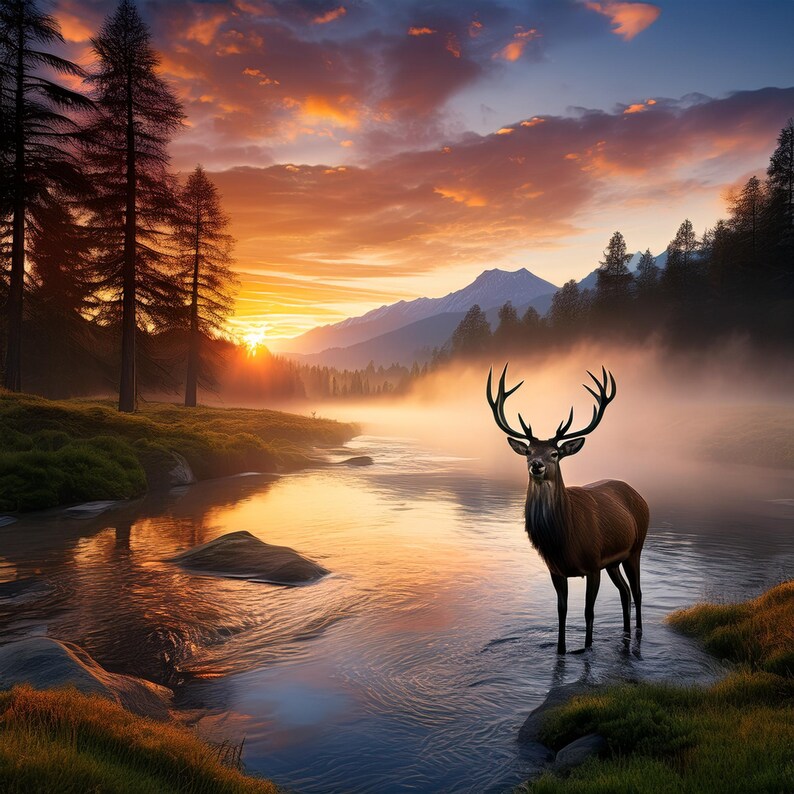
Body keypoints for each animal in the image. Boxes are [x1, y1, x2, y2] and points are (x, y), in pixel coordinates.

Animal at [487, 365, 648, 654]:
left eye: (555, 453)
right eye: (528, 451)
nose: (536, 465)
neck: (564, 539)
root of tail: (639, 496)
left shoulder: (593, 564)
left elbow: (588, 612)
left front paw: (586, 648)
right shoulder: (556, 569)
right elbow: (561, 611)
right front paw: (561, 650)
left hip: (635, 547)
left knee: (638, 592)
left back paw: (638, 632)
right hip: (614, 562)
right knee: (625, 591)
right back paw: (626, 633)